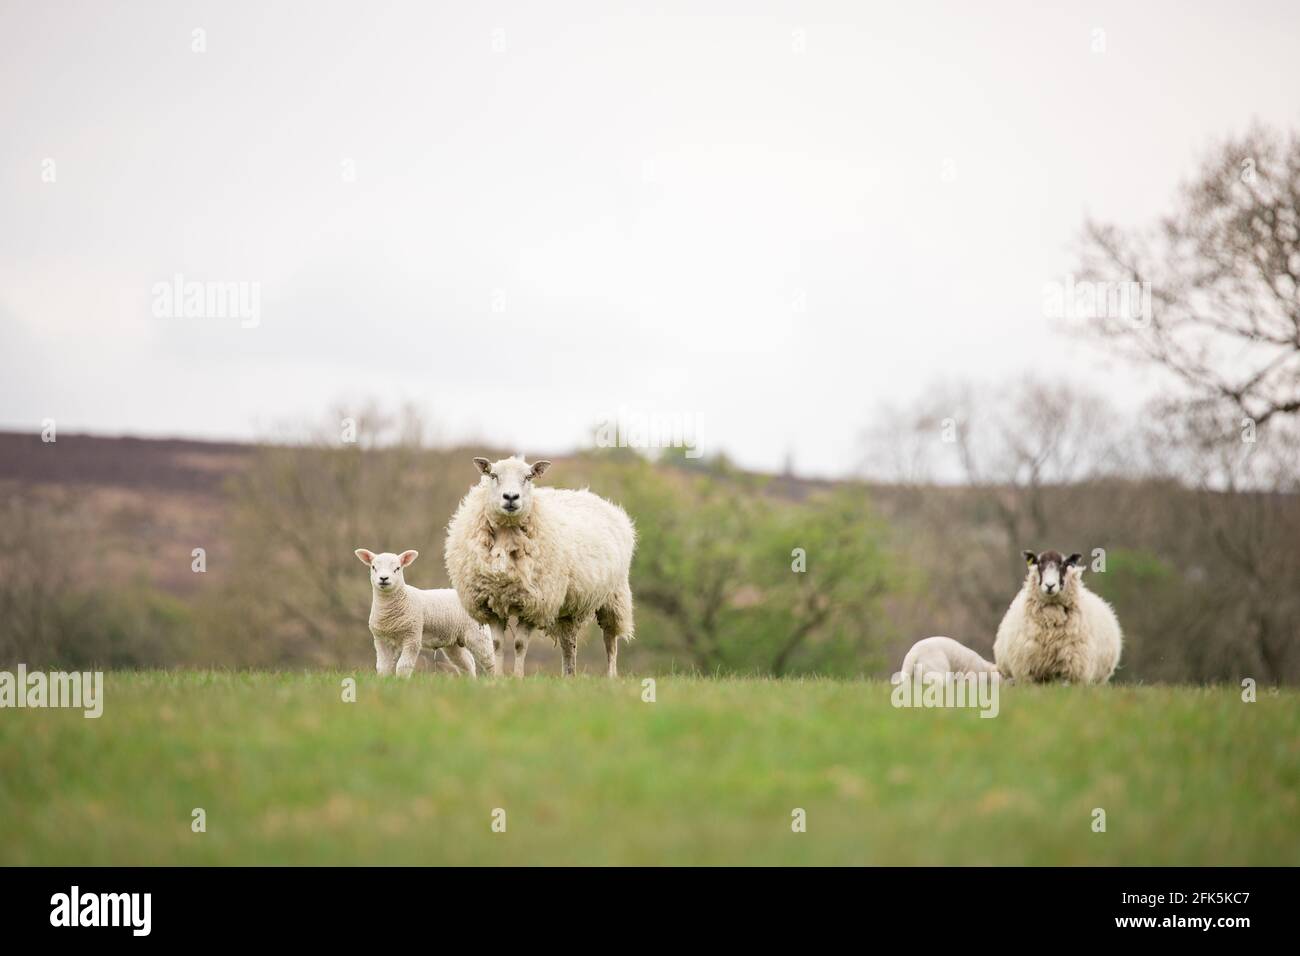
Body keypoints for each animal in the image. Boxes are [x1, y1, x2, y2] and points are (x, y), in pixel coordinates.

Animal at [354, 548, 496, 677]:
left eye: (397, 568)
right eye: (373, 567)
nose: (383, 578)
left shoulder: (412, 636)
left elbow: (403, 666)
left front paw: (401, 681)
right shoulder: (380, 639)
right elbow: (382, 667)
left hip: (478, 634)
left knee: (490, 661)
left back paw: (494, 680)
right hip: (453, 642)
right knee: (467, 663)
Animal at [444, 455, 636, 677]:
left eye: (528, 477)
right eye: (493, 475)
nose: (511, 497)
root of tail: (603, 501)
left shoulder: (535, 603)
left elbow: (519, 644)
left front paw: (517, 677)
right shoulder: (491, 602)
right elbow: (497, 644)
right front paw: (498, 678)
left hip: (614, 596)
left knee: (610, 640)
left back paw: (611, 676)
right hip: (569, 606)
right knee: (569, 643)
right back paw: (569, 675)